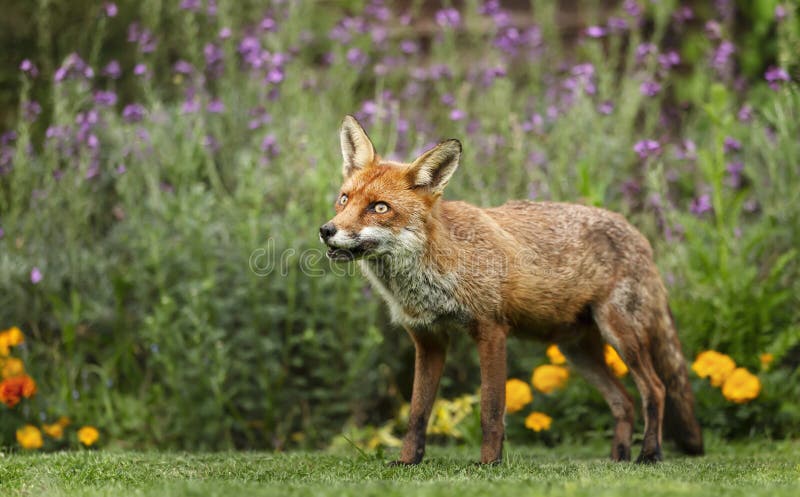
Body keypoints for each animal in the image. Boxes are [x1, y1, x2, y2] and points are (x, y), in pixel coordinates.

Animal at [320, 115, 704, 465]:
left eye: (379, 207)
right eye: (344, 199)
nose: (326, 230)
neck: (436, 271)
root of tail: (637, 231)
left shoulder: (491, 330)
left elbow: (491, 410)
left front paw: (489, 463)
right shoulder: (429, 339)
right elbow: (417, 414)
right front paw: (407, 462)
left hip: (621, 336)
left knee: (655, 389)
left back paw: (649, 454)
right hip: (577, 351)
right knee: (624, 401)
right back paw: (617, 459)